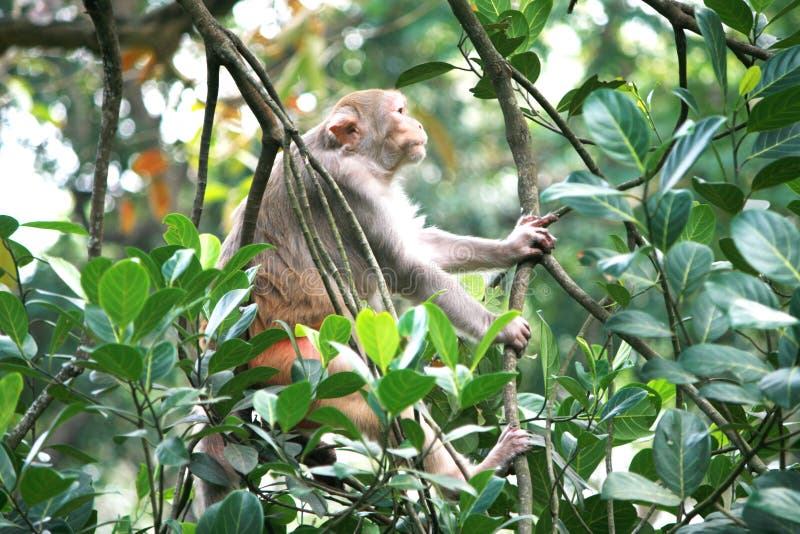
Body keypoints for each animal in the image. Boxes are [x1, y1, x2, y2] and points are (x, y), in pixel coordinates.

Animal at [195, 89, 555, 511]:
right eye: (398, 112)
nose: (417, 124)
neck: (355, 156)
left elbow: (417, 245)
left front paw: (513, 246)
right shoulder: (349, 190)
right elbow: (407, 266)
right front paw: (501, 330)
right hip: (294, 364)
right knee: (379, 395)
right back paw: (465, 481)